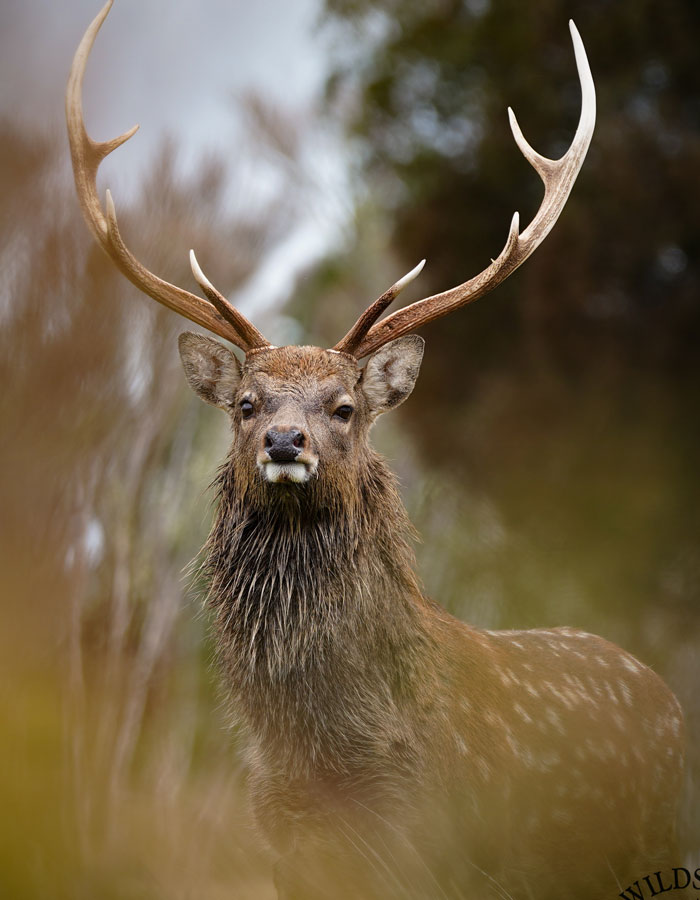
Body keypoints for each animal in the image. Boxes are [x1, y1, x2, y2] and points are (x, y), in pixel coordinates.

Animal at [67, 4, 685, 898]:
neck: (330, 754)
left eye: (346, 408)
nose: (285, 439)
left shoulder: (448, 850)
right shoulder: (287, 843)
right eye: (246, 406)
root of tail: (667, 699)